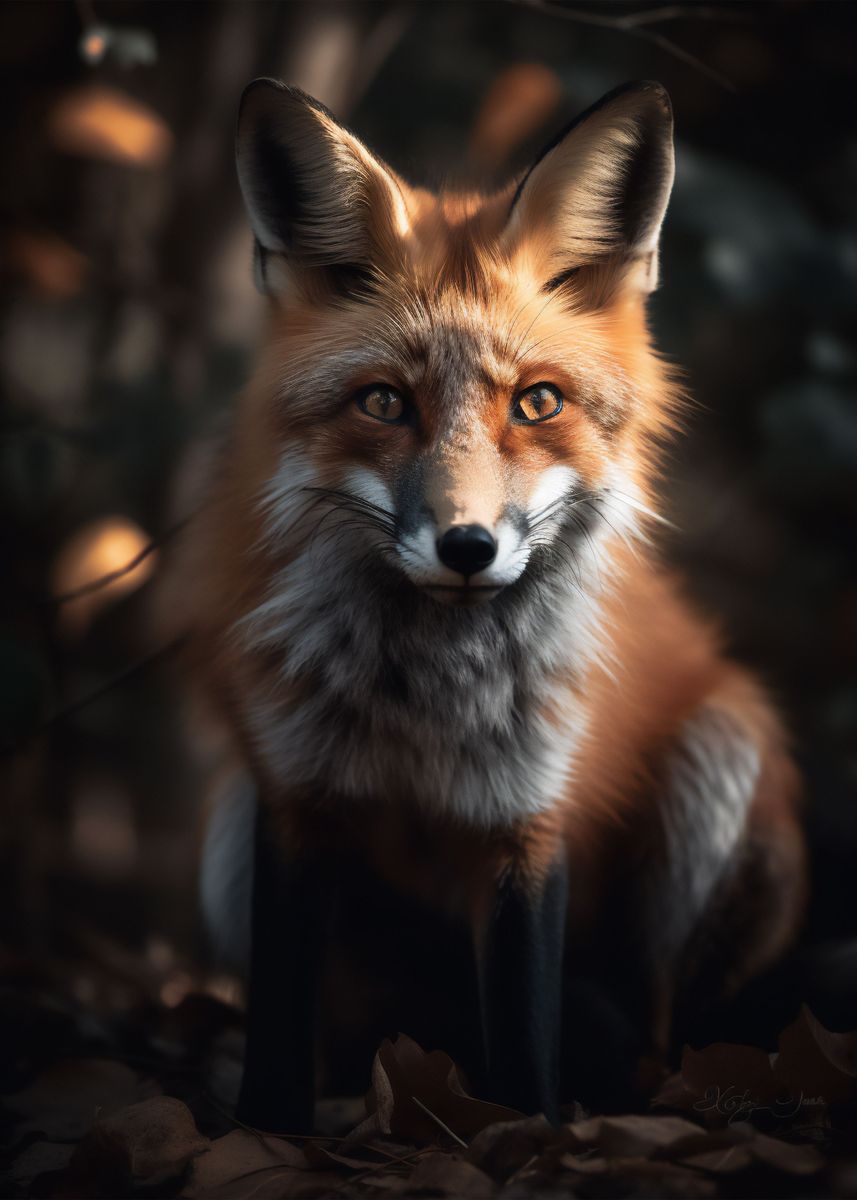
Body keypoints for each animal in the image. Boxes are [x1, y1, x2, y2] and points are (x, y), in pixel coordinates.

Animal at [178, 77, 806, 1131]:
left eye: (536, 403)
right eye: (384, 403)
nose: (467, 548)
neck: (427, 701)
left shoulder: (527, 813)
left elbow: (522, 1041)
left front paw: (525, 1141)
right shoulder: (293, 795)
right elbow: (279, 1020)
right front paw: (266, 1129)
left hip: (719, 765)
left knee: (655, 1033)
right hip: (228, 827)